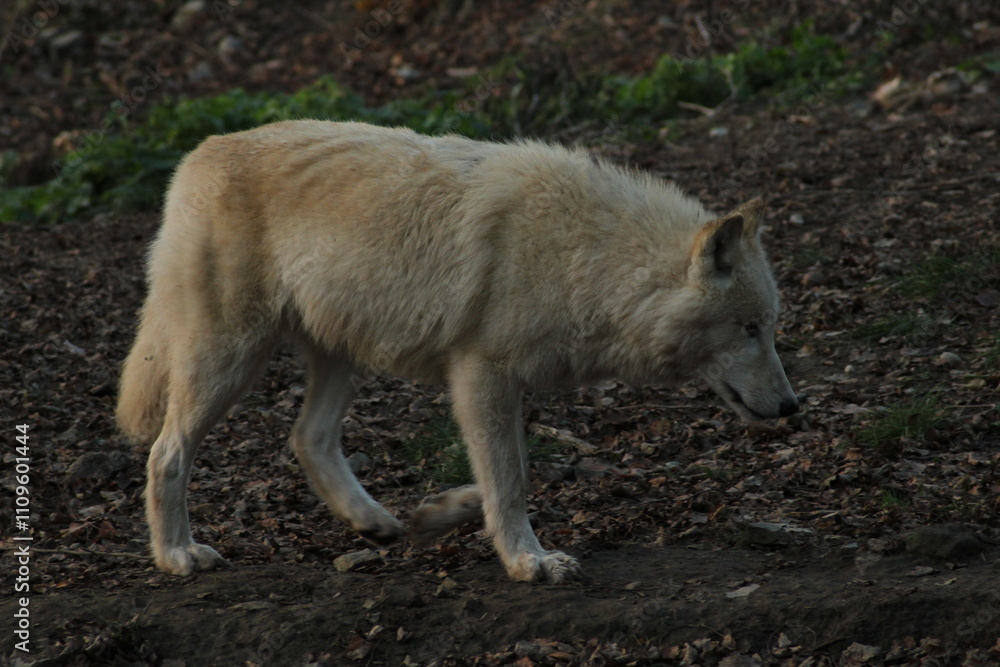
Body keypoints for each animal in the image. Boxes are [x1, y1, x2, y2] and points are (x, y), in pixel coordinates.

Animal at [117, 120, 798, 583]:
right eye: (749, 329)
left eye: (770, 326)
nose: (793, 407)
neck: (588, 255)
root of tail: (196, 156)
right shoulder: (480, 374)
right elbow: (513, 478)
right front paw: (529, 560)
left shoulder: (500, 387)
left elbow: (508, 474)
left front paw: (443, 514)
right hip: (229, 361)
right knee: (165, 453)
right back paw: (176, 554)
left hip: (341, 356)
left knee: (307, 438)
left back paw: (372, 520)